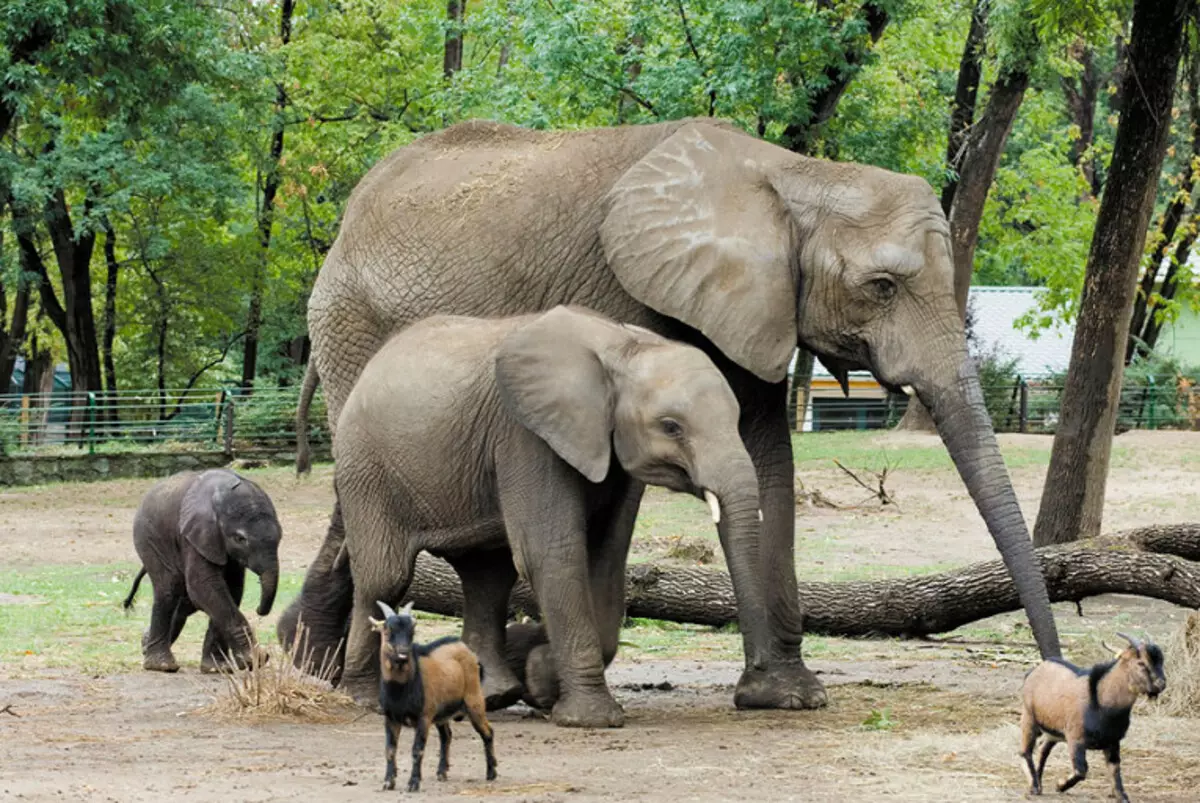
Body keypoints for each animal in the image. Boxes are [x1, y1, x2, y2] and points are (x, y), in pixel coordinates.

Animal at [123, 465, 280, 672]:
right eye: (240, 539)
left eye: (280, 536)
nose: (259, 610)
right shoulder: (196, 535)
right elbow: (205, 586)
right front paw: (254, 660)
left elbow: (231, 590)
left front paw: (217, 668)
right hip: (149, 537)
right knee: (168, 590)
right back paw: (162, 665)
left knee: (184, 602)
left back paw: (145, 643)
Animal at [333, 304, 763, 724]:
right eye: (671, 427)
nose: (751, 688)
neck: (624, 347)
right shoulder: (525, 435)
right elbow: (552, 554)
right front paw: (588, 718)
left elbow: (606, 559)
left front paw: (539, 677)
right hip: (364, 466)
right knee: (385, 576)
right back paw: (365, 698)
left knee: (487, 577)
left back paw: (492, 694)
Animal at [367, 597, 494, 792]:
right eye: (388, 630)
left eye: (412, 631)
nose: (403, 654)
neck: (400, 691)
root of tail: (468, 651)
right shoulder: (390, 717)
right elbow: (390, 749)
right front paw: (388, 782)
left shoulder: (424, 716)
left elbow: (417, 750)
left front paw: (413, 783)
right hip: (442, 713)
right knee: (446, 735)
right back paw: (442, 772)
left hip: (474, 700)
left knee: (487, 732)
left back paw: (491, 773)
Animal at [1022, 633, 1161, 796]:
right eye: (1141, 663)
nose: (1161, 683)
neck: (1100, 701)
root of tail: (1034, 671)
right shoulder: (1075, 739)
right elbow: (1081, 770)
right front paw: (1060, 785)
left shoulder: (1113, 742)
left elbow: (1115, 770)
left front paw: (1122, 796)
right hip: (1029, 717)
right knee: (1025, 751)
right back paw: (1034, 787)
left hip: (1054, 731)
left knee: (1043, 748)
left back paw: (1039, 783)